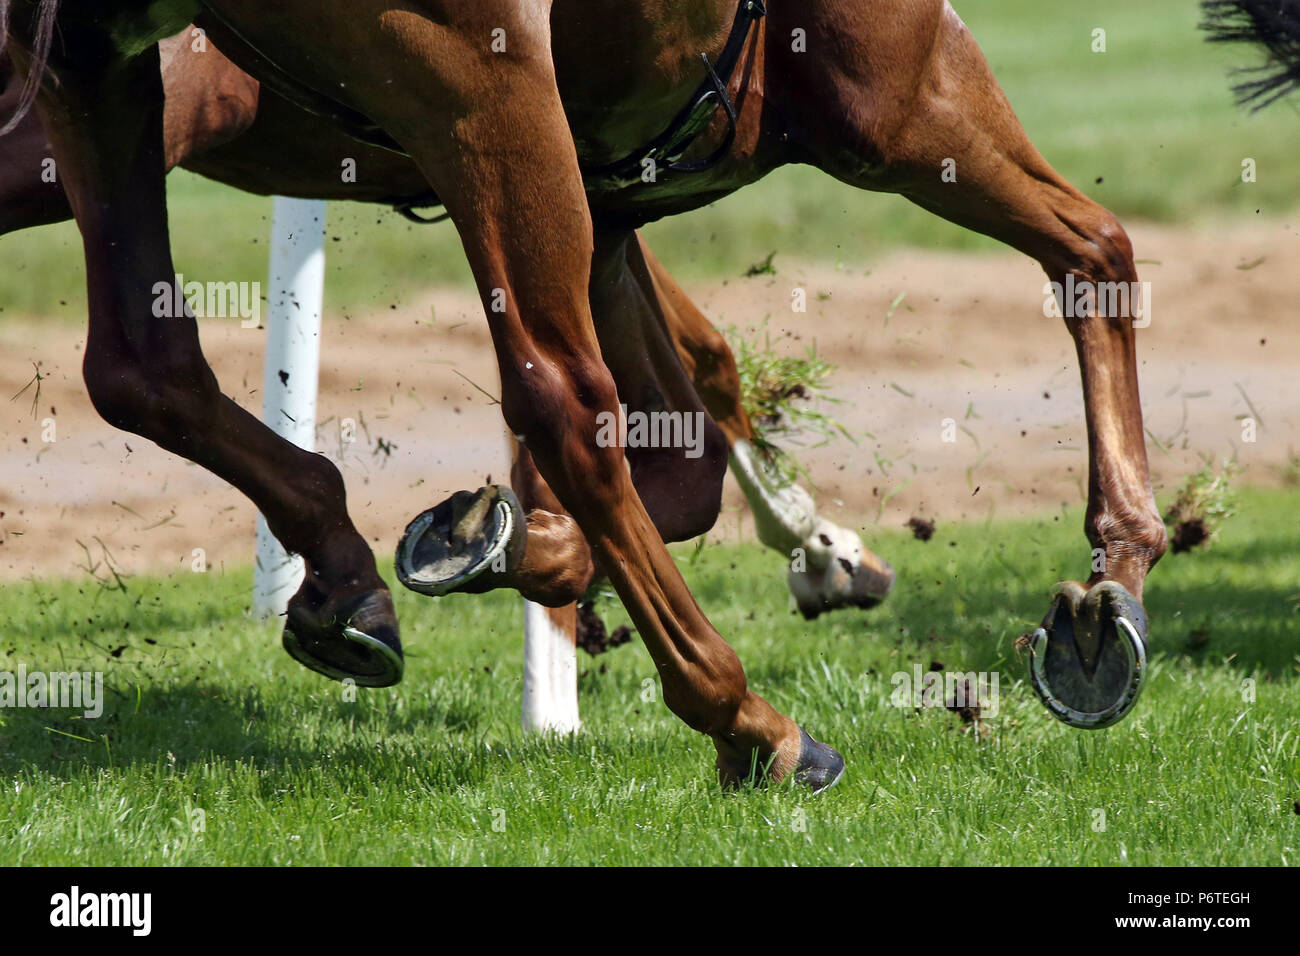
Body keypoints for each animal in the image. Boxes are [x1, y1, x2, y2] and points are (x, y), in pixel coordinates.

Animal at [2, 0, 1165, 789]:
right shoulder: (901, 100)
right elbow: (1094, 252)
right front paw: (1112, 584)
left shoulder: (611, 200)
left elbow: (687, 444)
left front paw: (510, 543)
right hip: (480, 80)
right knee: (561, 397)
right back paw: (751, 722)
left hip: (108, 73)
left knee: (140, 361)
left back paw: (349, 571)